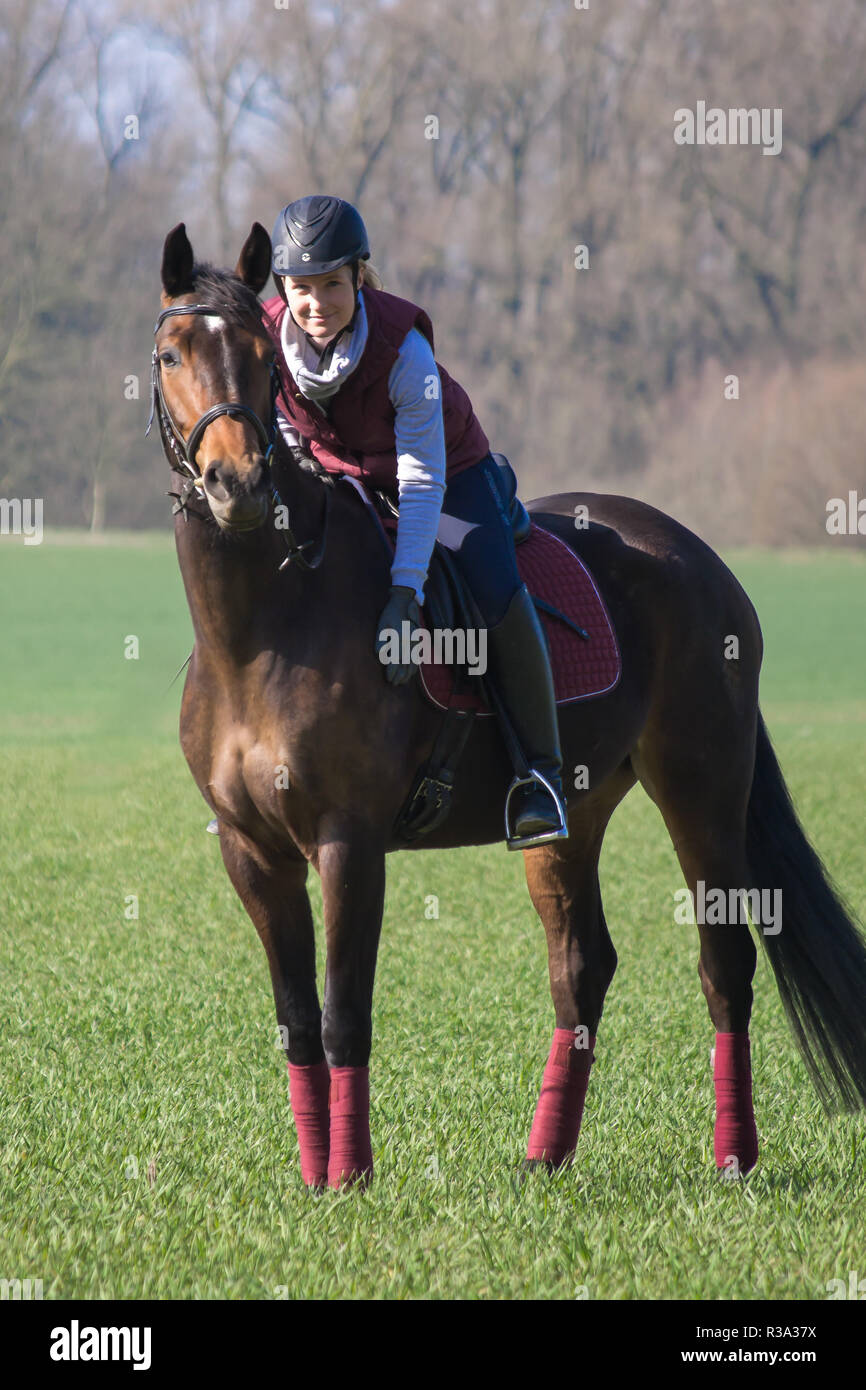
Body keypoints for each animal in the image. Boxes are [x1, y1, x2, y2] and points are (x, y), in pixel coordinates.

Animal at [150, 219, 866, 1190]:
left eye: (266, 360)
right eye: (170, 354)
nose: (238, 485)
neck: (263, 629)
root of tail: (699, 558)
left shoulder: (347, 840)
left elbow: (343, 1013)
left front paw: (351, 1181)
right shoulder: (251, 852)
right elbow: (297, 1020)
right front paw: (313, 1179)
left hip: (703, 793)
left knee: (725, 964)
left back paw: (732, 1157)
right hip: (572, 813)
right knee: (582, 966)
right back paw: (546, 1157)